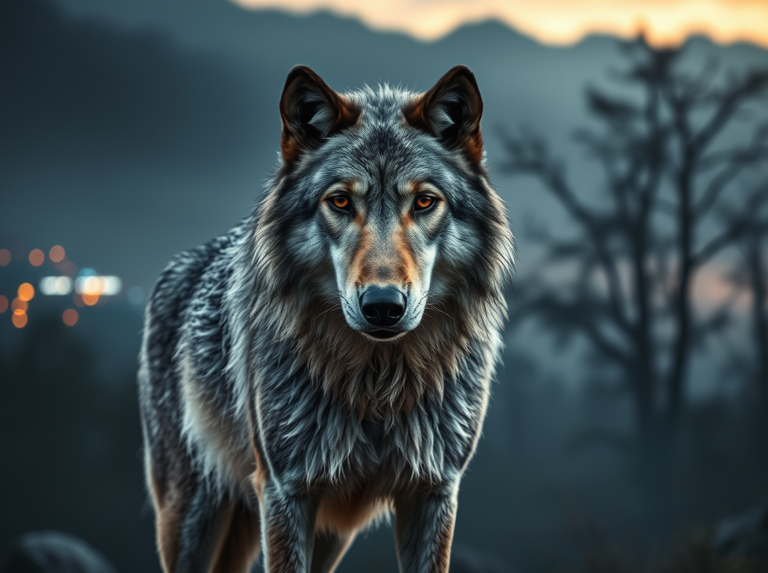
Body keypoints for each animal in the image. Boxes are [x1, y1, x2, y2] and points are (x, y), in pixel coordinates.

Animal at [138, 64, 514, 573]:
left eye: (423, 202)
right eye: (340, 202)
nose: (382, 304)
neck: (377, 384)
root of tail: (179, 265)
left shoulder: (434, 490)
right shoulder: (286, 489)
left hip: (330, 534)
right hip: (196, 513)